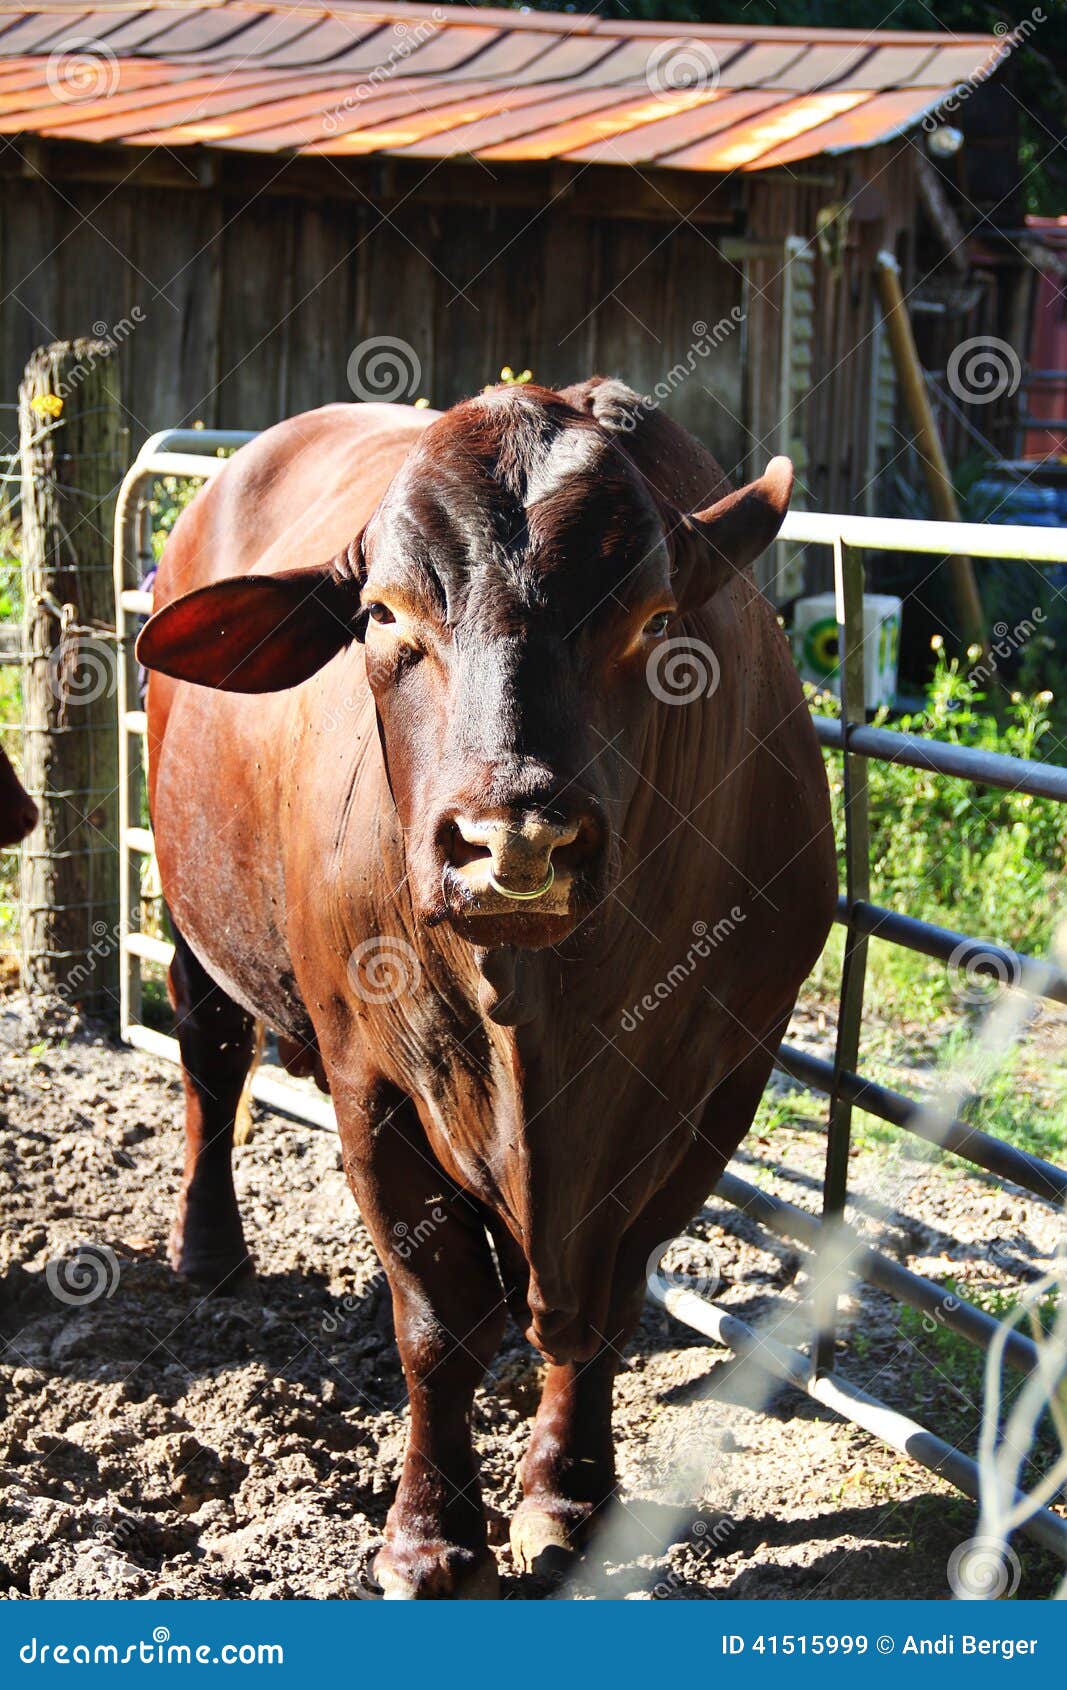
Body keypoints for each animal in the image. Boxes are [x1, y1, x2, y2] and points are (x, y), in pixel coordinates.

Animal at [137, 379, 836, 1598]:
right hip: (194, 919)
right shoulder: (371, 1081)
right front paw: (429, 1533)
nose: (514, 836)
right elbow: (438, 1320)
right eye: (381, 618)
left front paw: (567, 1494)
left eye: (653, 619)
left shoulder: (718, 1082)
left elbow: (609, 1301)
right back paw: (210, 1251)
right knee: (210, 1057)